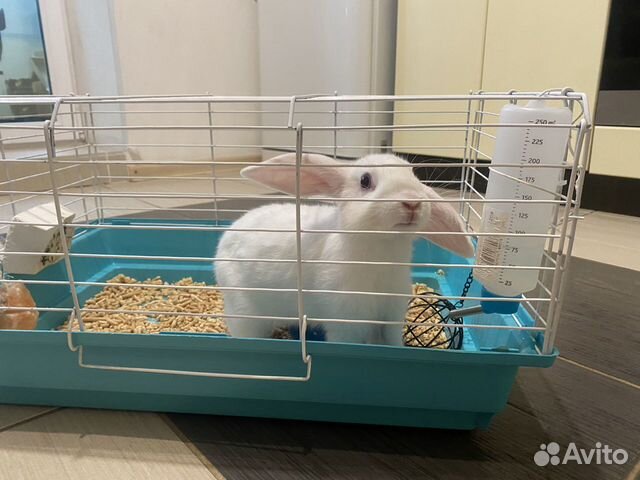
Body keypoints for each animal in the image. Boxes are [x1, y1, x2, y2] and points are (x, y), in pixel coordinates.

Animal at [215, 152, 475, 346]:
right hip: (245, 311)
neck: (383, 253)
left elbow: (392, 343)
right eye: (365, 181)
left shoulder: (390, 318)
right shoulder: (347, 321)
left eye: (413, 176)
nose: (412, 202)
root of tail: (224, 240)